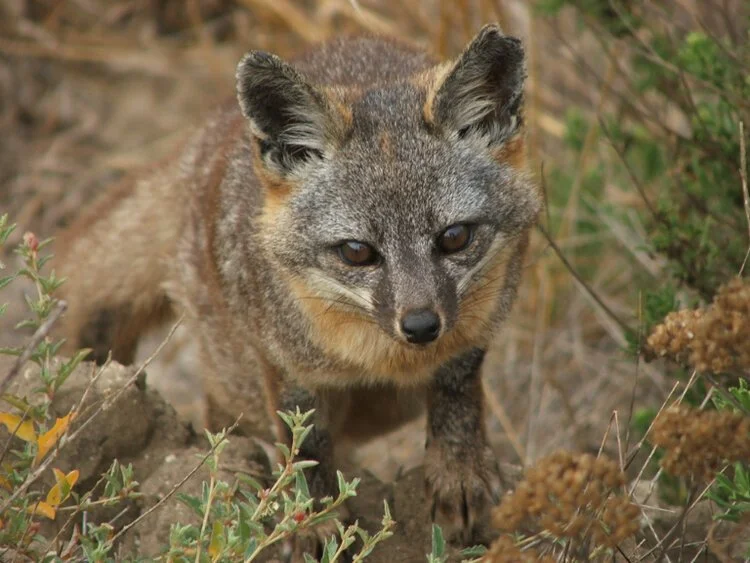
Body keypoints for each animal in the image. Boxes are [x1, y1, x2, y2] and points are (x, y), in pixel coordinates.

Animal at [55, 24, 542, 550]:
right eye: (357, 252)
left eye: (454, 237)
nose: (420, 326)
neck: (378, 356)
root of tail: (206, 138)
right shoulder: (287, 365)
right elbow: (305, 445)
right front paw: (313, 517)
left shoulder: (471, 334)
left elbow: (459, 396)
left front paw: (458, 471)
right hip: (241, 385)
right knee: (228, 421)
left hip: (390, 406)